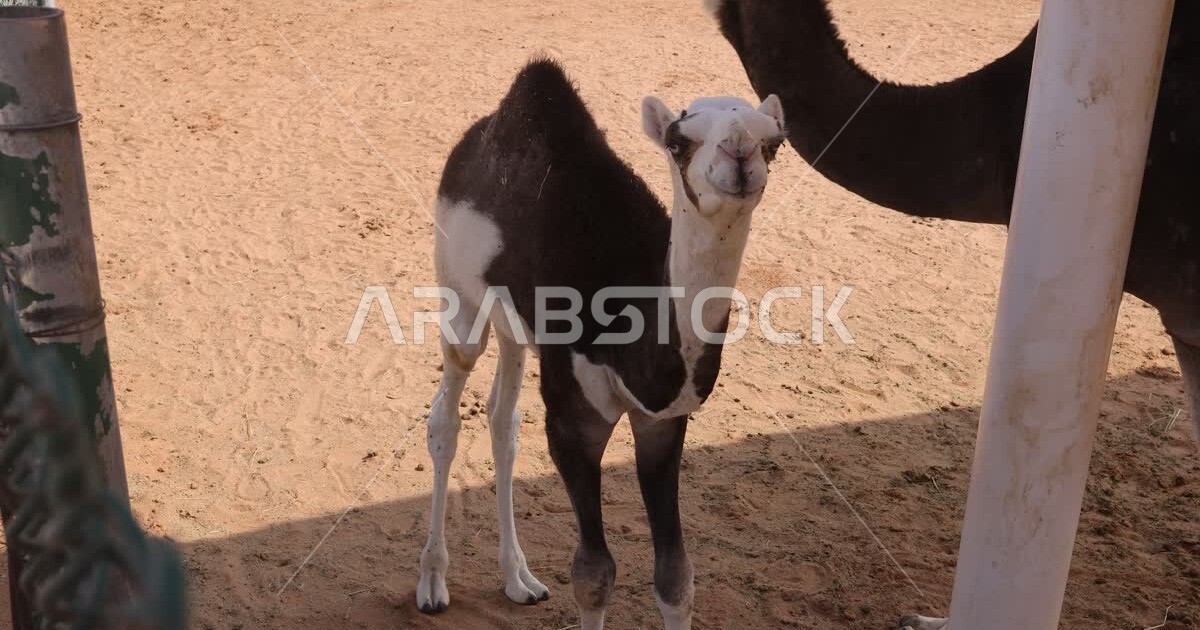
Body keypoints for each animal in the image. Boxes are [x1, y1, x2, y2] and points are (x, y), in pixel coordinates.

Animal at [415, 58, 785, 630]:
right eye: (679, 141)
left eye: (774, 141)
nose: (741, 152)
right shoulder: (574, 421)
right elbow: (593, 576)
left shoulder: (662, 421)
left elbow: (676, 576)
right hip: (459, 297)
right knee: (446, 416)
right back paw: (433, 581)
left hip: (515, 327)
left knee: (503, 420)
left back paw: (519, 579)